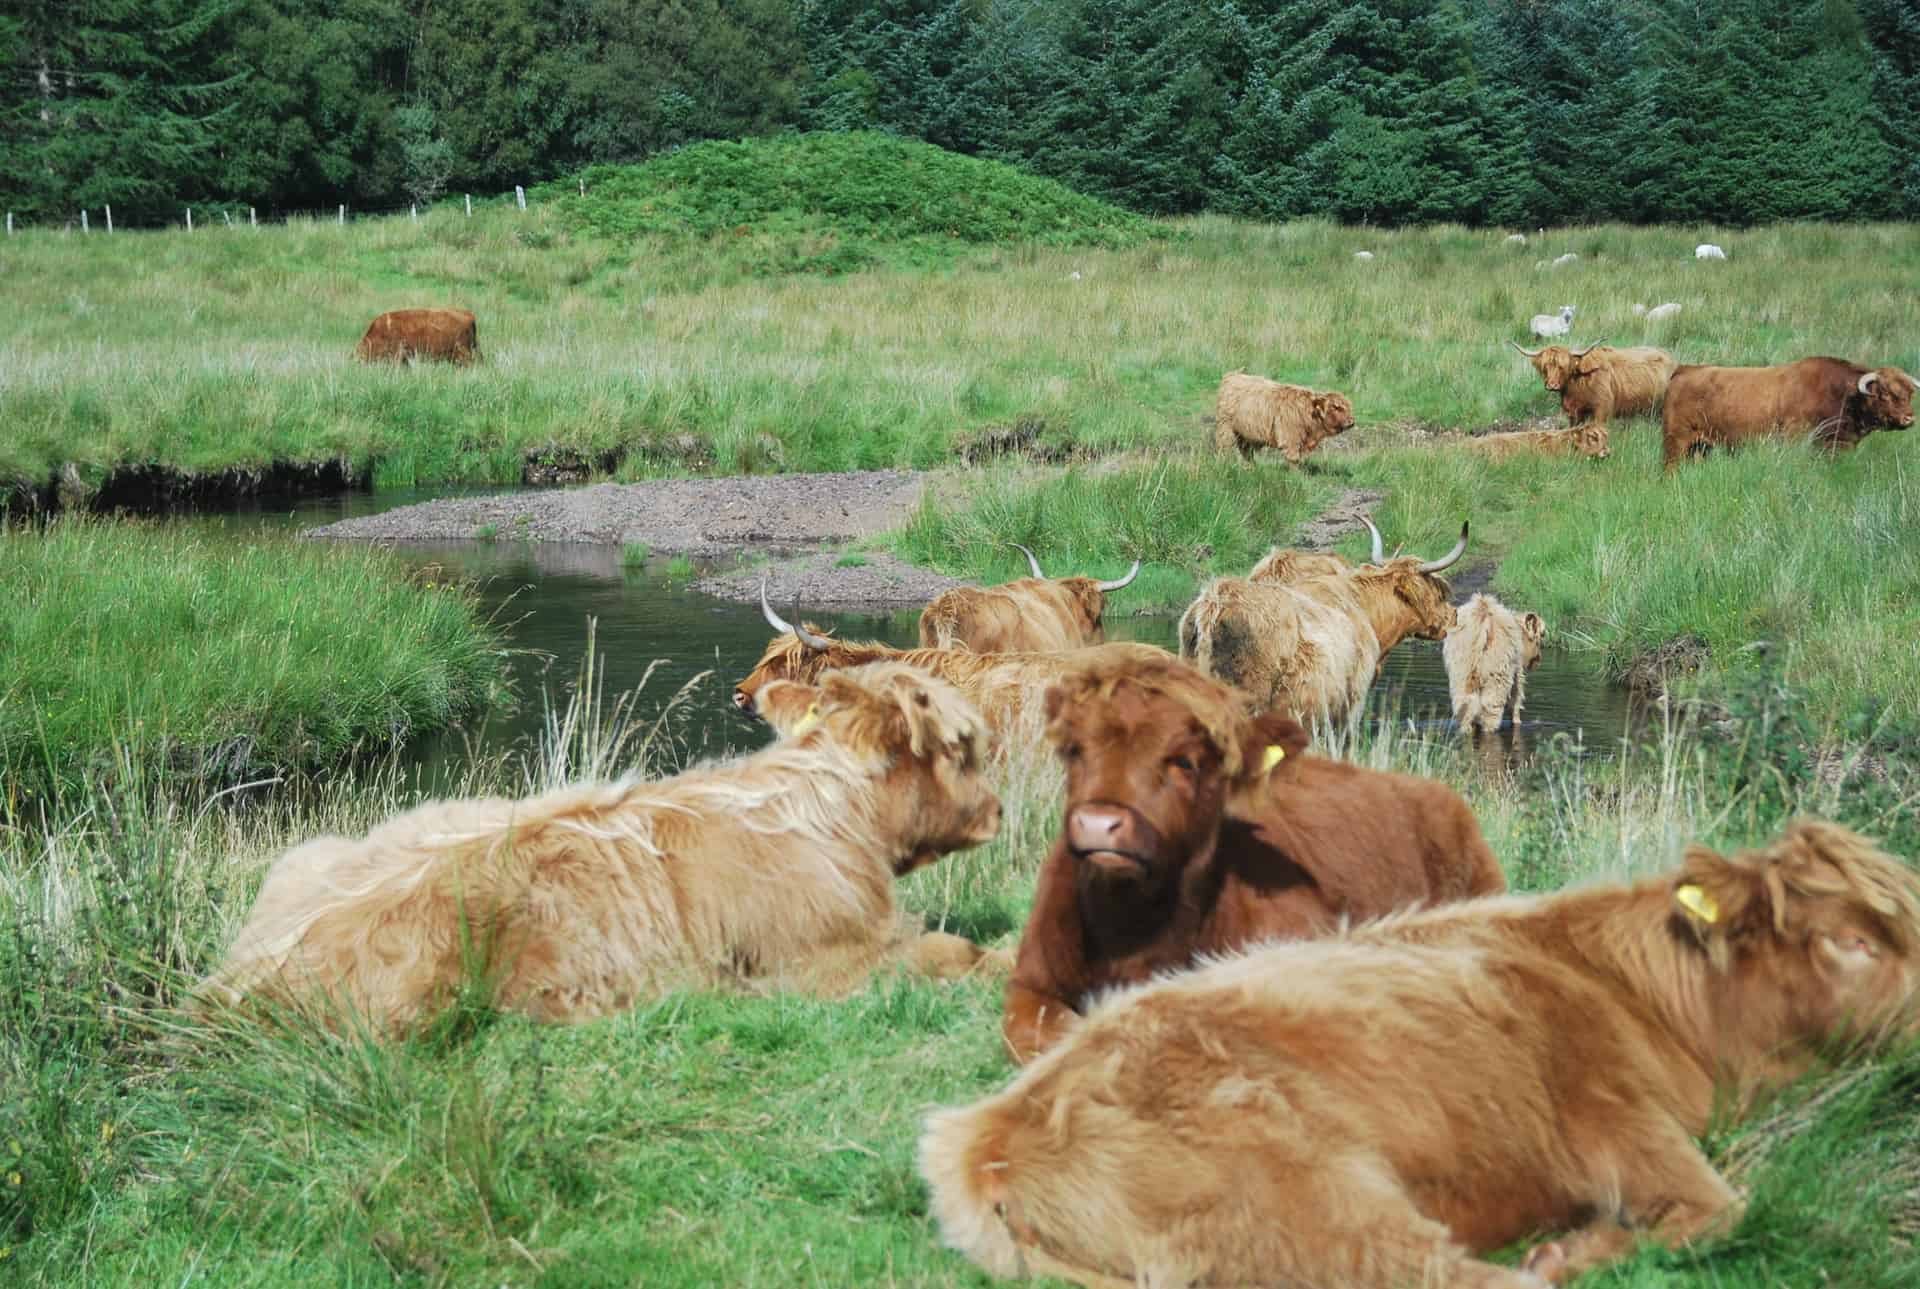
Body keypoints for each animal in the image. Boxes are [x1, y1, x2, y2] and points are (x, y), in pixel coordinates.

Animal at [922, 818, 1920, 1289]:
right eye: (1851, 942)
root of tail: (985, 1134)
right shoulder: (1624, 1122)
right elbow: (1723, 1208)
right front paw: (1578, 1246)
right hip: (1309, 1198)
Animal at [1213, 371, 1355, 465]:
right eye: (1336, 407)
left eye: (1349, 407)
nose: (1351, 422)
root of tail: (1232, 375)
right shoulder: (1290, 438)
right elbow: (1293, 459)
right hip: (1225, 428)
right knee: (1224, 448)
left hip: (1245, 434)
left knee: (1246, 452)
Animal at [1444, 593, 1546, 735]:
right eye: (1541, 635)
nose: (1538, 659)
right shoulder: (1517, 671)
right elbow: (1516, 701)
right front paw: (1517, 722)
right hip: (1497, 679)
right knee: (1490, 716)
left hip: (1460, 676)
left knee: (1466, 712)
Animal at [1661, 357, 1917, 469]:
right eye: (1885, 394)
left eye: (1909, 394)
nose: (1909, 418)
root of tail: (1684, 370)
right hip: (1676, 445)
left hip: (1700, 448)